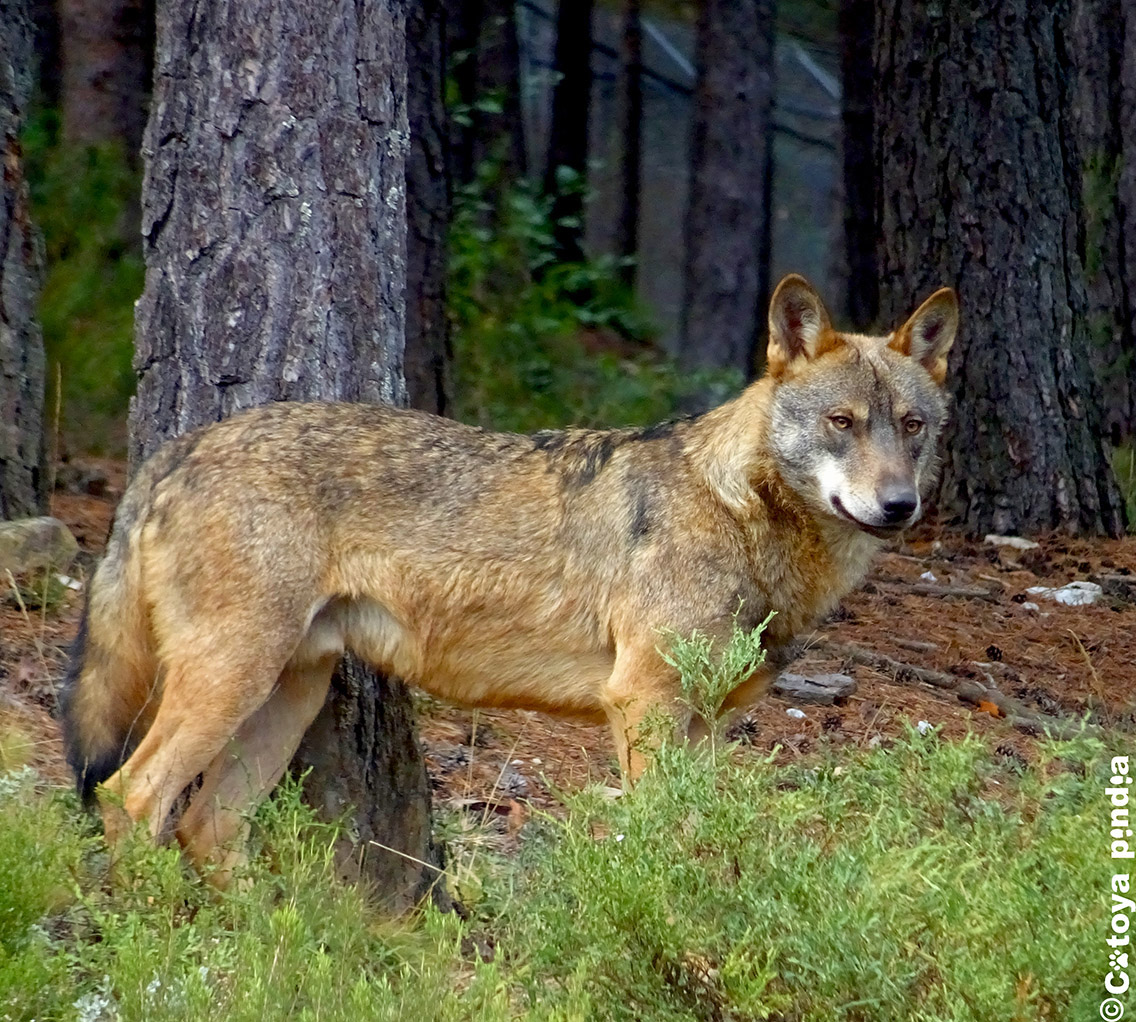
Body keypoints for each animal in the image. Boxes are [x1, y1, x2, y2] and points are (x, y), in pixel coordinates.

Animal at [63, 274, 957, 879]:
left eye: (912, 427)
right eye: (842, 422)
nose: (898, 506)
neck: (740, 514)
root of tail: (176, 449)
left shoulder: (710, 725)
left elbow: (702, 841)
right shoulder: (643, 704)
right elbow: (663, 844)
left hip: (288, 693)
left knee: (205, 826)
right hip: (231, 680)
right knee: (129, 796)